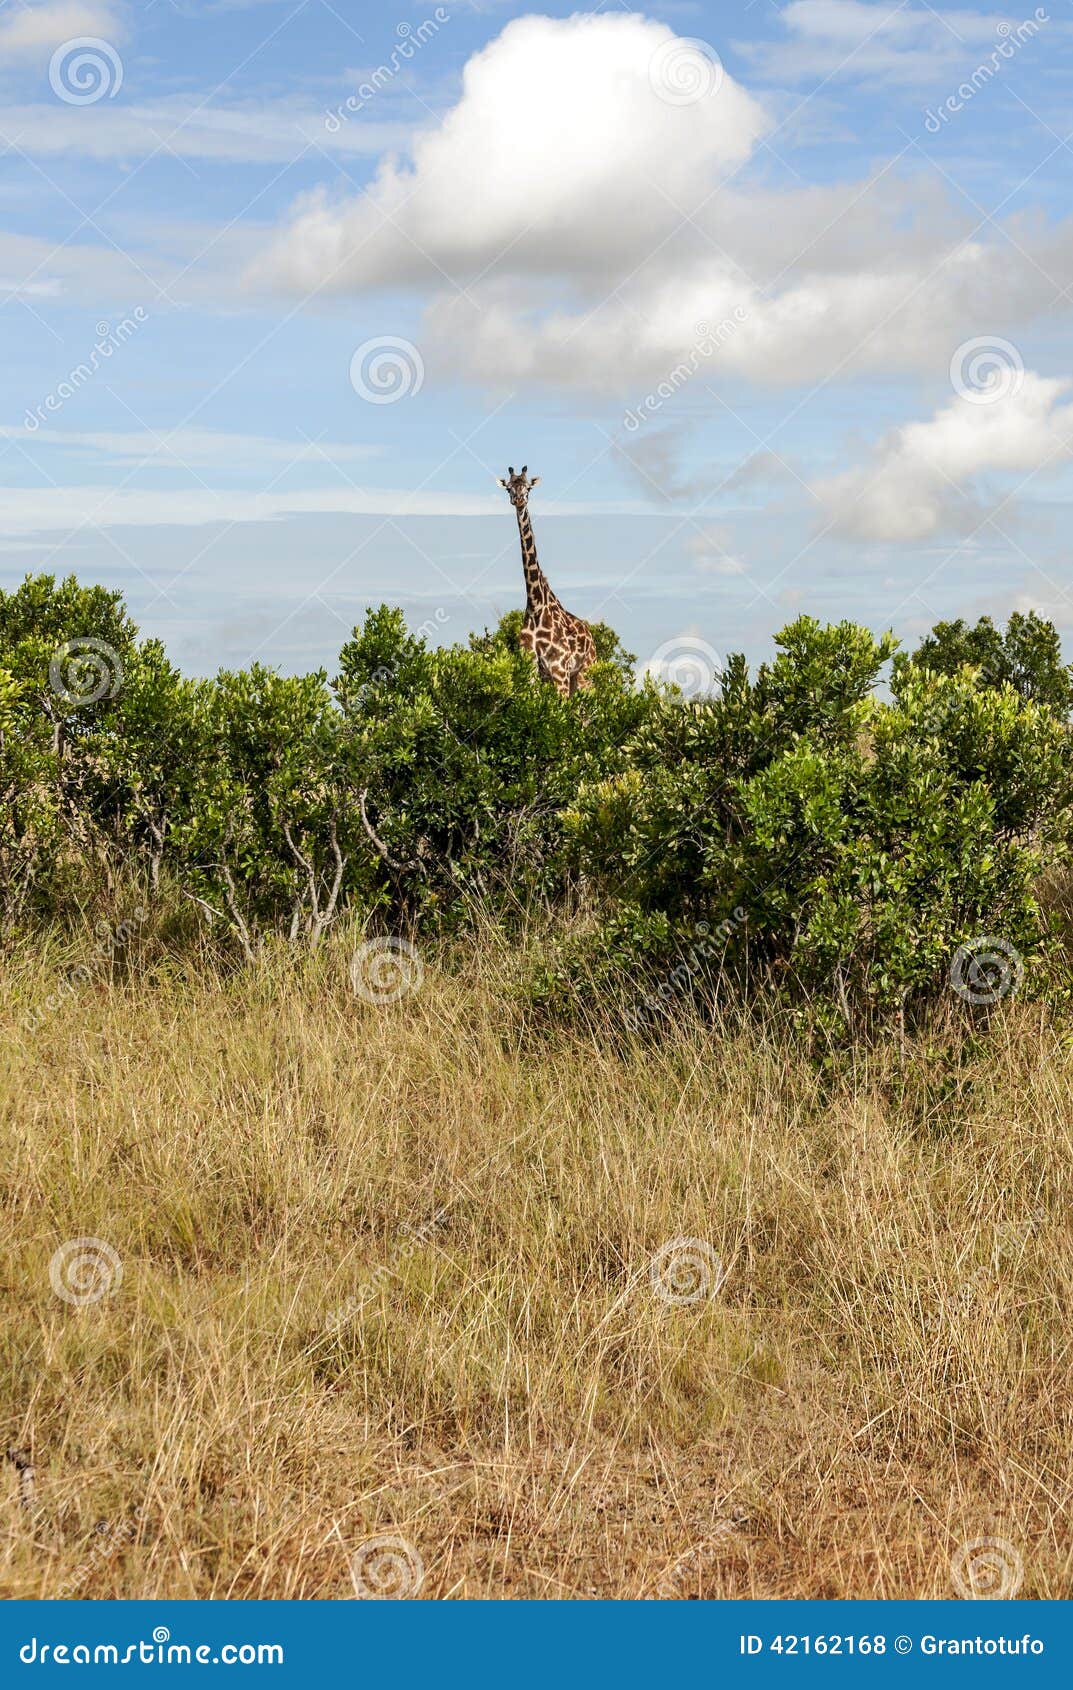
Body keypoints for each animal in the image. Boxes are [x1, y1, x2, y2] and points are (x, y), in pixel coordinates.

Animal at [498, 466, 597, 696]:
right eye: (508, 488)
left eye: (528, 488)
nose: (519, 500)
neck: (536, 605)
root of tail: (591, 637)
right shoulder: (532, 669)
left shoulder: (559, 668)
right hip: (574, 678)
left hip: (585, 673)